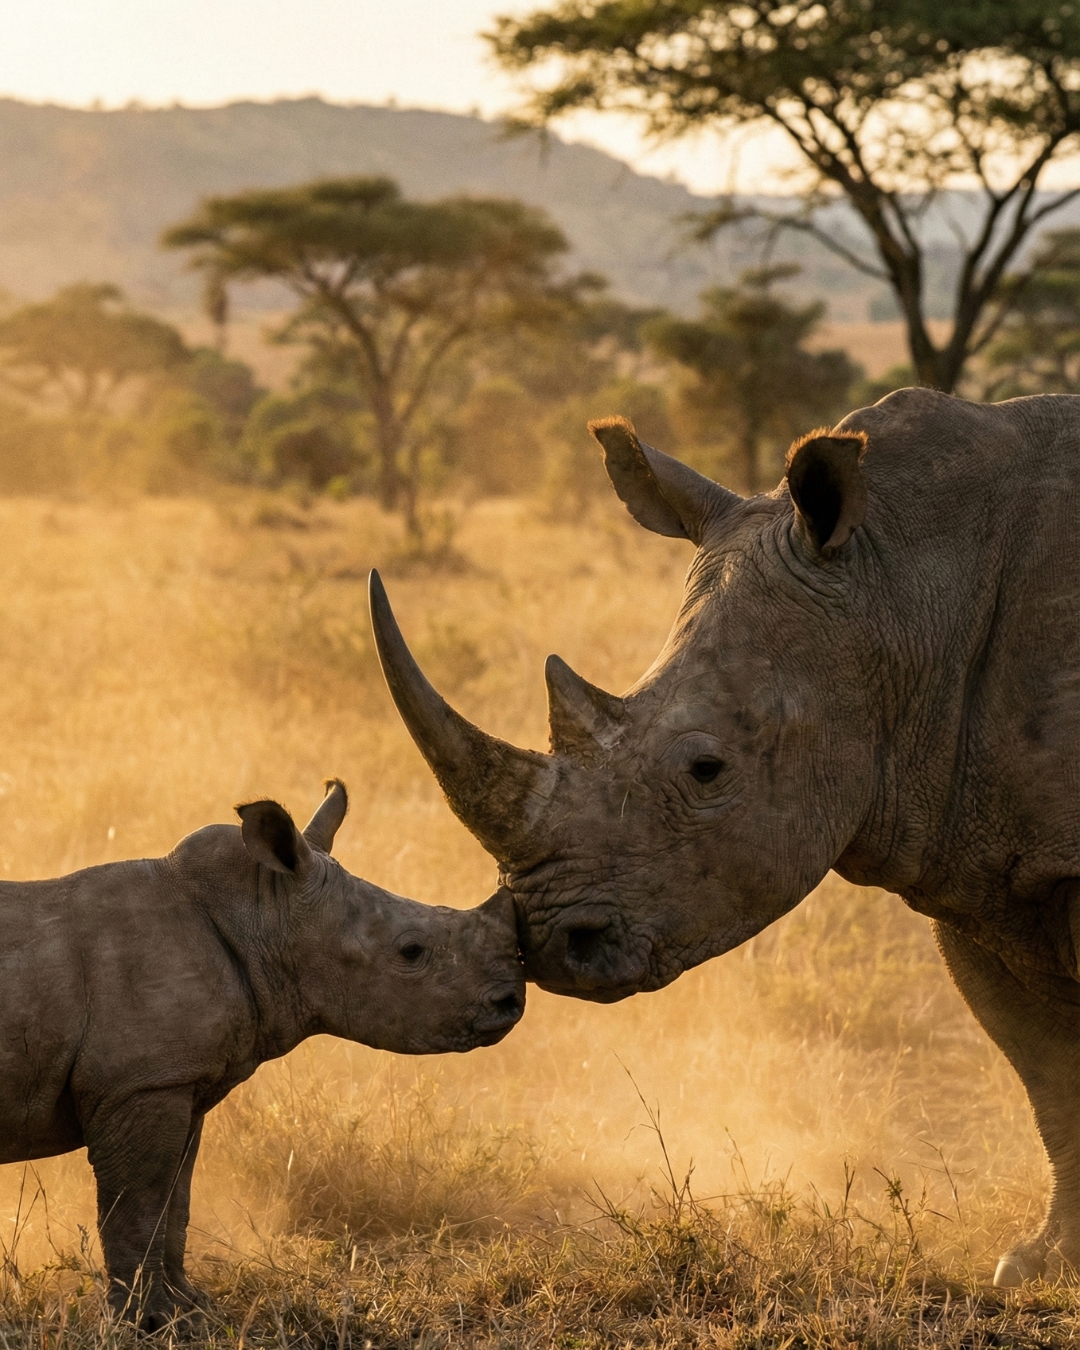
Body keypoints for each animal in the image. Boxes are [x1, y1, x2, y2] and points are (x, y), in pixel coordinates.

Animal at [0, 780, 523, 1327]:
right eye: (411, 951)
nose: (511, 1001)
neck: (263, 913)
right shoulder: (141, 1082)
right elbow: (137, 1207)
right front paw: (148, 1322)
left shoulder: (179, 1081)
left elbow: (174, 1202)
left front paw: (193, 1311)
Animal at [369, 389, 1079, 1289]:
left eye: (707, 769)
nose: (554, 944)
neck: (906, 583)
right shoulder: (971, 853)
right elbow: (1048, 1073)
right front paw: (1037, 1266)